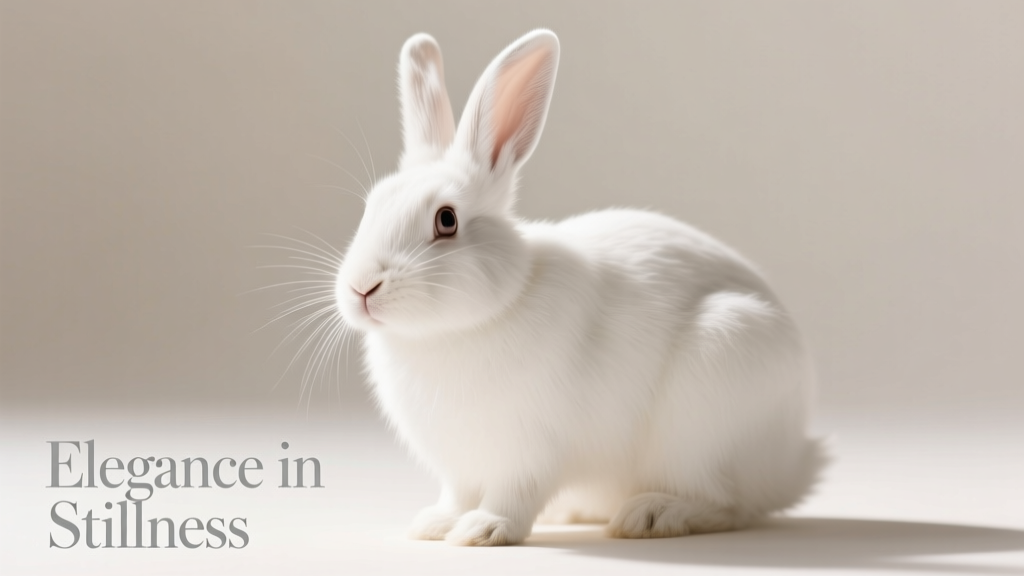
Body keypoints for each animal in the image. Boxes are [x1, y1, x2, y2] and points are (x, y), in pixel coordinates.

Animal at [334, 29, 826, 546]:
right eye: (371, 206)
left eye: (446, 220)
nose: (361, 288)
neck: (456, 330)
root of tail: (795, 462)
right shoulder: (461, 466)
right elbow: (458, 494)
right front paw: (434, 524)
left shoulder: (530, 448)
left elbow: (513, 494)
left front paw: (484, 530)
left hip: (711, 397)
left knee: (727, 504)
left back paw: (651, 515)